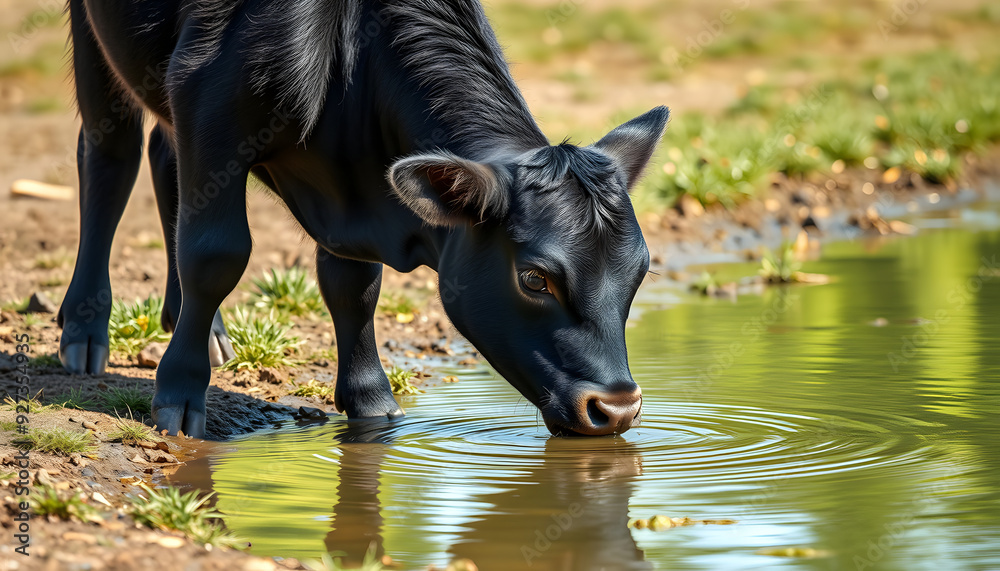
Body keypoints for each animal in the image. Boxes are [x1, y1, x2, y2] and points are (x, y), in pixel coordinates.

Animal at [59, 0, 669, 438]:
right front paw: (179, 394)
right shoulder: (210, 103)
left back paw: (200, 327)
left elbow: (353, 286)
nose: (616, 409)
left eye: (640, 273)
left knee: (165, 158)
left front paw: (371, 400)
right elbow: (215, 254)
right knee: (110, 156)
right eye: (535, 278)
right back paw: (84, 329)